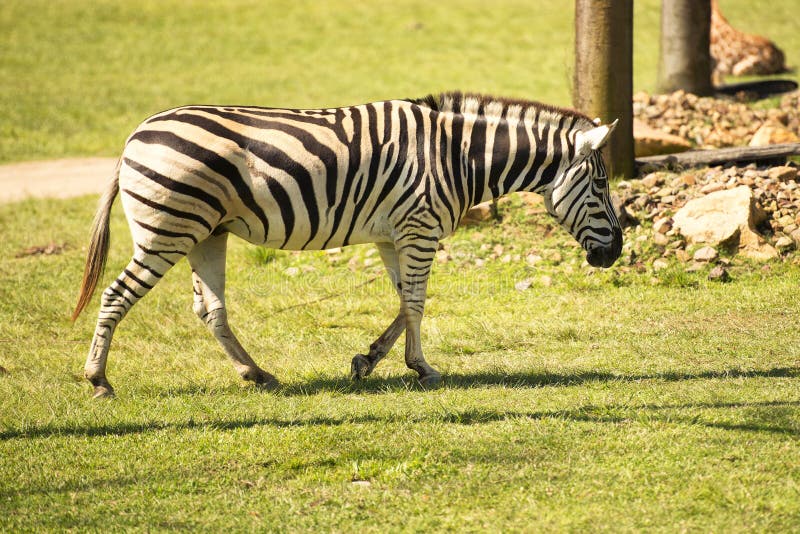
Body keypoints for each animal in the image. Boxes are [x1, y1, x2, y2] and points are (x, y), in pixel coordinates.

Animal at [72, 91, 622, 398]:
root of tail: (134, 137)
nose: (614, 252)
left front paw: (370, 360)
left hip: (207, 234)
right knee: (116, 295)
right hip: (169, 229)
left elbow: (403, 302)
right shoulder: (419, 228)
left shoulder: (394, 235)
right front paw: (423, 369)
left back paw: (256, 374)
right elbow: (417, 302)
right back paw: (98, 380)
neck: (456, 156)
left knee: (211, 310)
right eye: (600, 185)